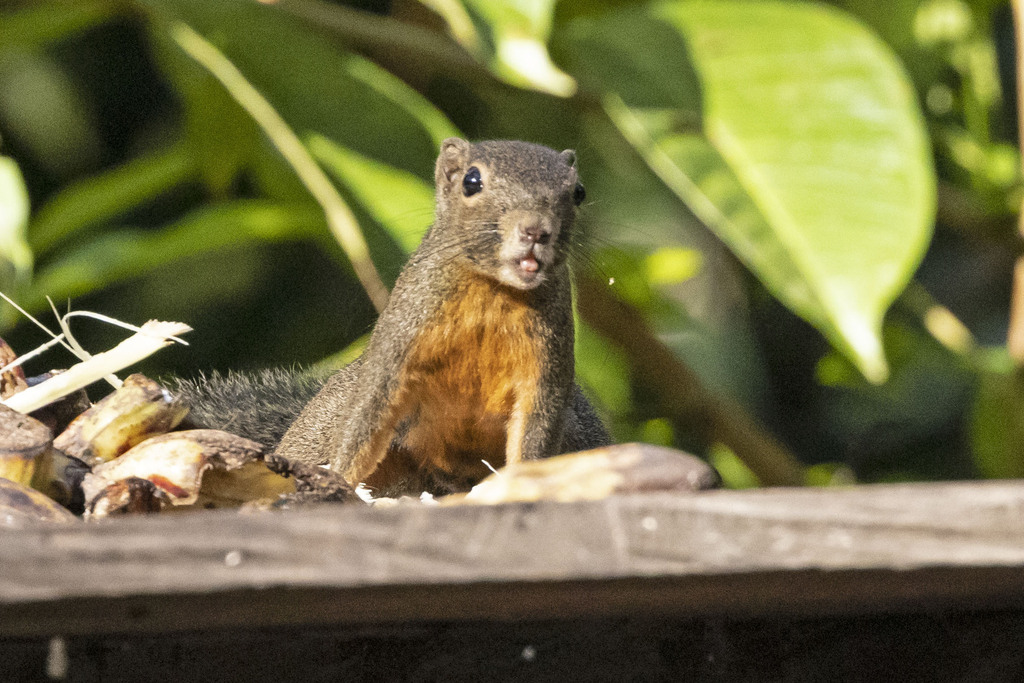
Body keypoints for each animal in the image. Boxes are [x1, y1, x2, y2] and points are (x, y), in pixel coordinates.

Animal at [175, 138, 611, 497]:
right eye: (471, 181)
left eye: (578, 192)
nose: (536, 230)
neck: (493, 292)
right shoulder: (397, 347)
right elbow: (363, 424)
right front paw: (337, 481)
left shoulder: (545, 371)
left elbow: (534, 436)